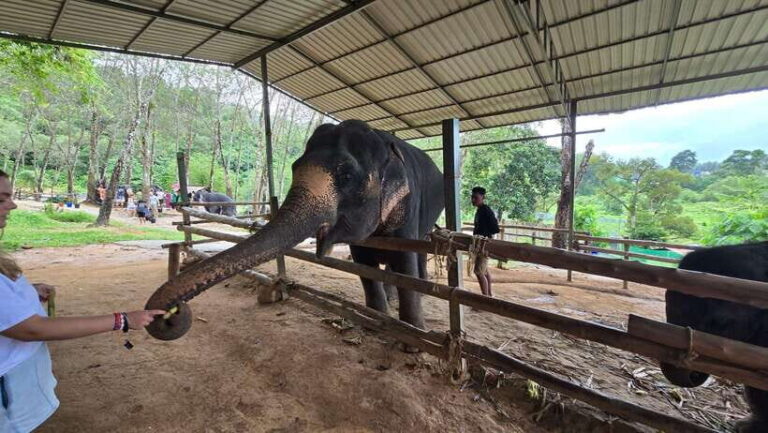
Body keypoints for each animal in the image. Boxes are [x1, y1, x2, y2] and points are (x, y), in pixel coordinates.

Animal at [145, 119, 444, 341]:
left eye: (347, 176)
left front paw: (413, 337)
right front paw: (376, 323)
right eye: (294, 166)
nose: (172, 314)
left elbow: (405, 260)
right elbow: (364, 264)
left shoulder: (410, 204)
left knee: (417, 255)